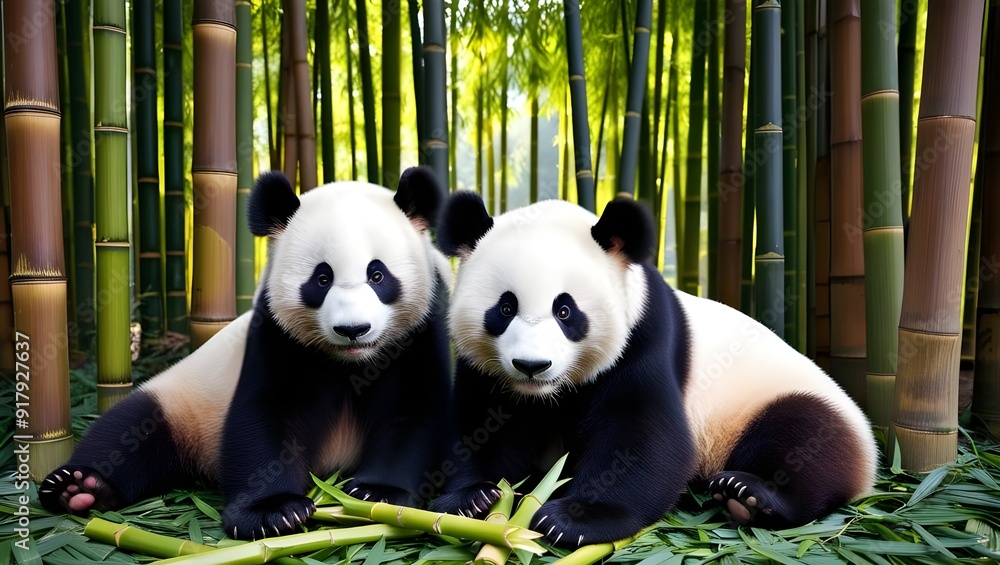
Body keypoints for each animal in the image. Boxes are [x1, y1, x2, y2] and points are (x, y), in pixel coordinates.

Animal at [39, 167, 453, 540]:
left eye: (377, 275)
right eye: (322, 279)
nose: (353, 329)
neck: (350, 363)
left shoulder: (420, 332)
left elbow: (413, 409)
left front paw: (376, 493)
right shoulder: (274, 334)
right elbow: (261, 415)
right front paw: (273, 512)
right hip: (184, 402)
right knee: (130, 430)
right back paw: (78, 488)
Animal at [430, 191, 878, 548]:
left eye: (565, 310)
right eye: (505, 308)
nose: (532, 366)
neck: (549, 395)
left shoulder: (644, 339)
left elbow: (642, 434)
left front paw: (572, 519)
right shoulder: (485, 371)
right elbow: (482, 426)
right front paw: (473, 498)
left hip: (778, 397)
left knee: (806, 439)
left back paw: (748, 494)